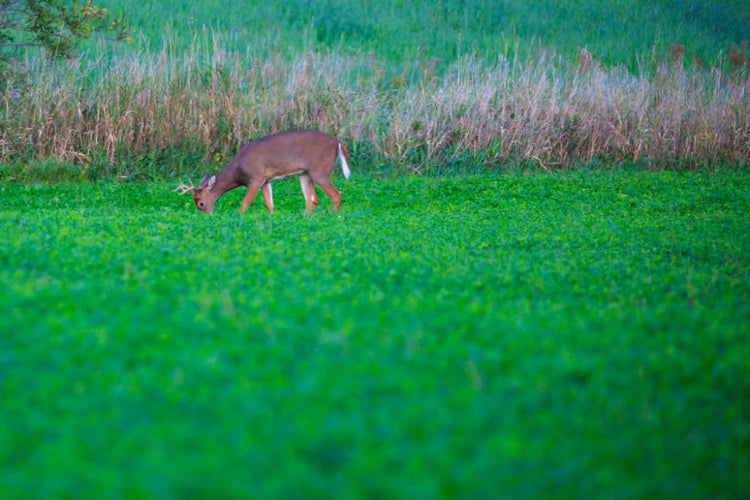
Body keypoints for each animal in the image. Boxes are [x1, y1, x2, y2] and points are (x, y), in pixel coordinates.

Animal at [173, 130, 351, 215]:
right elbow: (269, 204)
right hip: (304, 173)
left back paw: (335, 217)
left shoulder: (256, 178)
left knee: (336, 194)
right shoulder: (266, 180)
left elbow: (245, 203)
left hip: (319, 170)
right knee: (312, 200)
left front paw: (239, 217)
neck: (238, 170)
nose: (205, 215)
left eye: (201, 203)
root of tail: (338, 142)